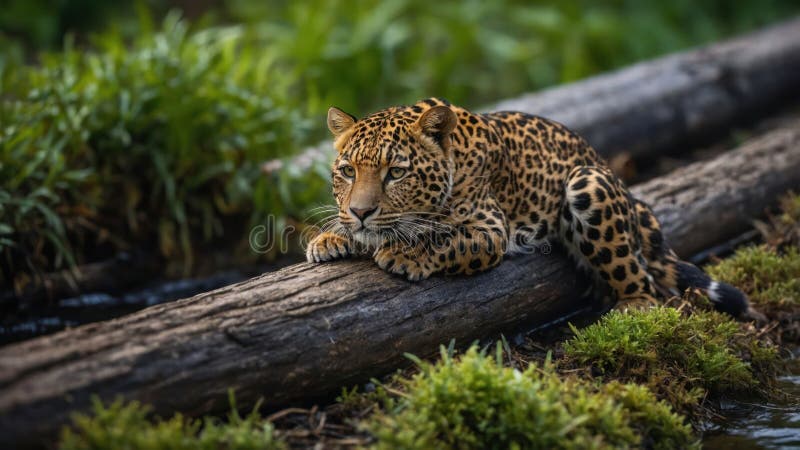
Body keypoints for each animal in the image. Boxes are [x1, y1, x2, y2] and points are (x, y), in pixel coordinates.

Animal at [306, 97, 759, 318]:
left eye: (396, 173)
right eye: (347, 171)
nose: (361, 212)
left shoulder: (490, 230)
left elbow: (444, 237)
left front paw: (405, 254)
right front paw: (331, 237)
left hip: (587, 184)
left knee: (645, 284)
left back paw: (631, 307)